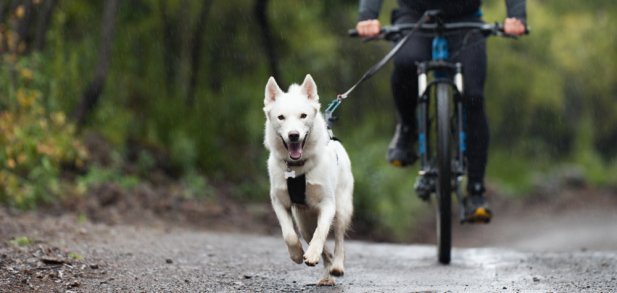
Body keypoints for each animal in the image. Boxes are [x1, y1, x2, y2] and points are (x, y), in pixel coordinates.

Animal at [262, 74, 354, 284]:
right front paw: (297, 254)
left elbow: (321, 233)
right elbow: (288, 234)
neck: (297, 168)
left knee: (338, 239)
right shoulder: (279, 202)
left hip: (341, 209)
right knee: (319, 244)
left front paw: (311, 254)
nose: (293, 135)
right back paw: (327, 274)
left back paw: (337, 266)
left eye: (303, 116)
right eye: (281, 117)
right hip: (303, 223)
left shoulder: (328, 204)